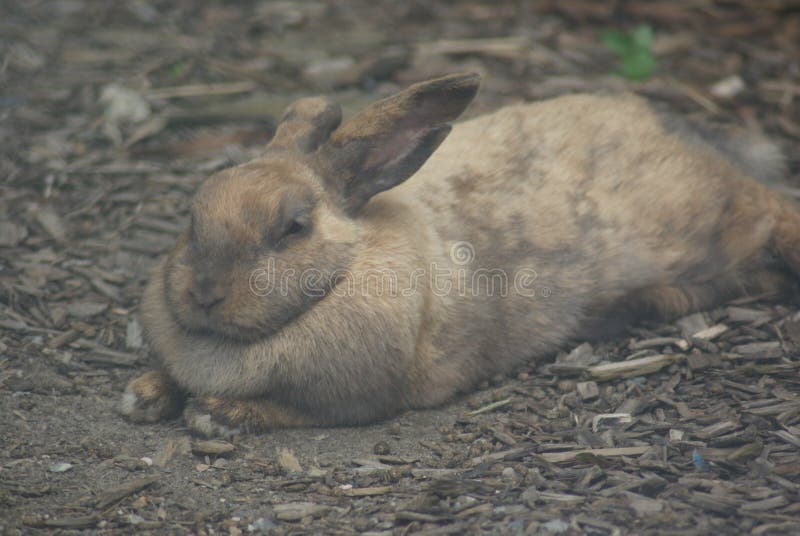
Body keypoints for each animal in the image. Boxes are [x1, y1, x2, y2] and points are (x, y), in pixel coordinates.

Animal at [120, 73, 800, 437]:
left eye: (293, 228)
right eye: (193, 217)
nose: (203, 294)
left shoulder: (353, 399)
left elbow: (291, 409)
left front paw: (216, 415)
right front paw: (144, 395)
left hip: (726, 218)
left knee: (772, 211)